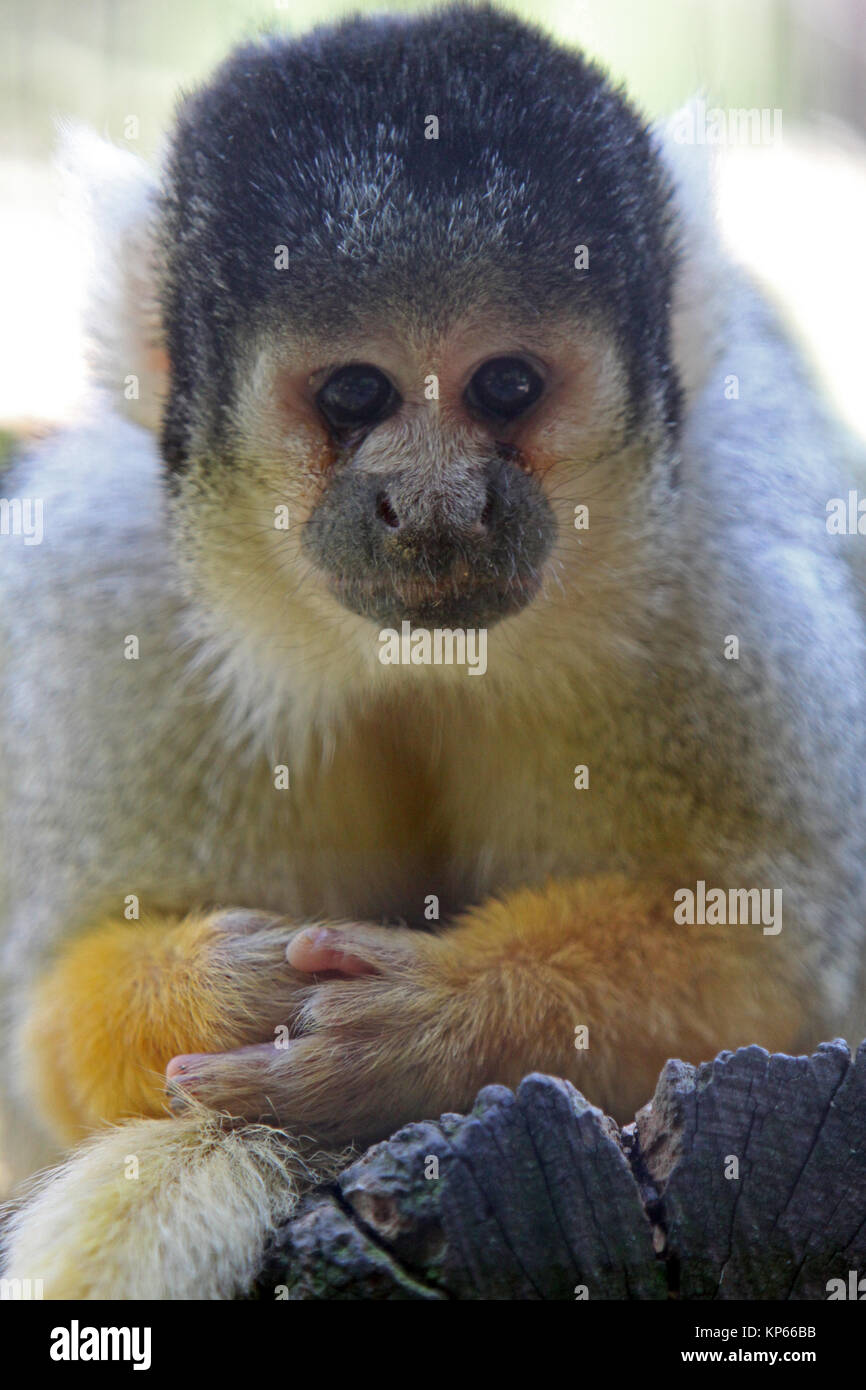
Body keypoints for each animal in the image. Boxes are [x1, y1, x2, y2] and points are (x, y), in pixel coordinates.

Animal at [2, 3, 866, 1299]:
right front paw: (205, 1001)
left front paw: (441, 1027)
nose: (435, 505)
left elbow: (773, 970)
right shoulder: (107, 591)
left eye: (504, 386)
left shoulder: (724, 571)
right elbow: (40, 1025)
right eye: (354, 396)